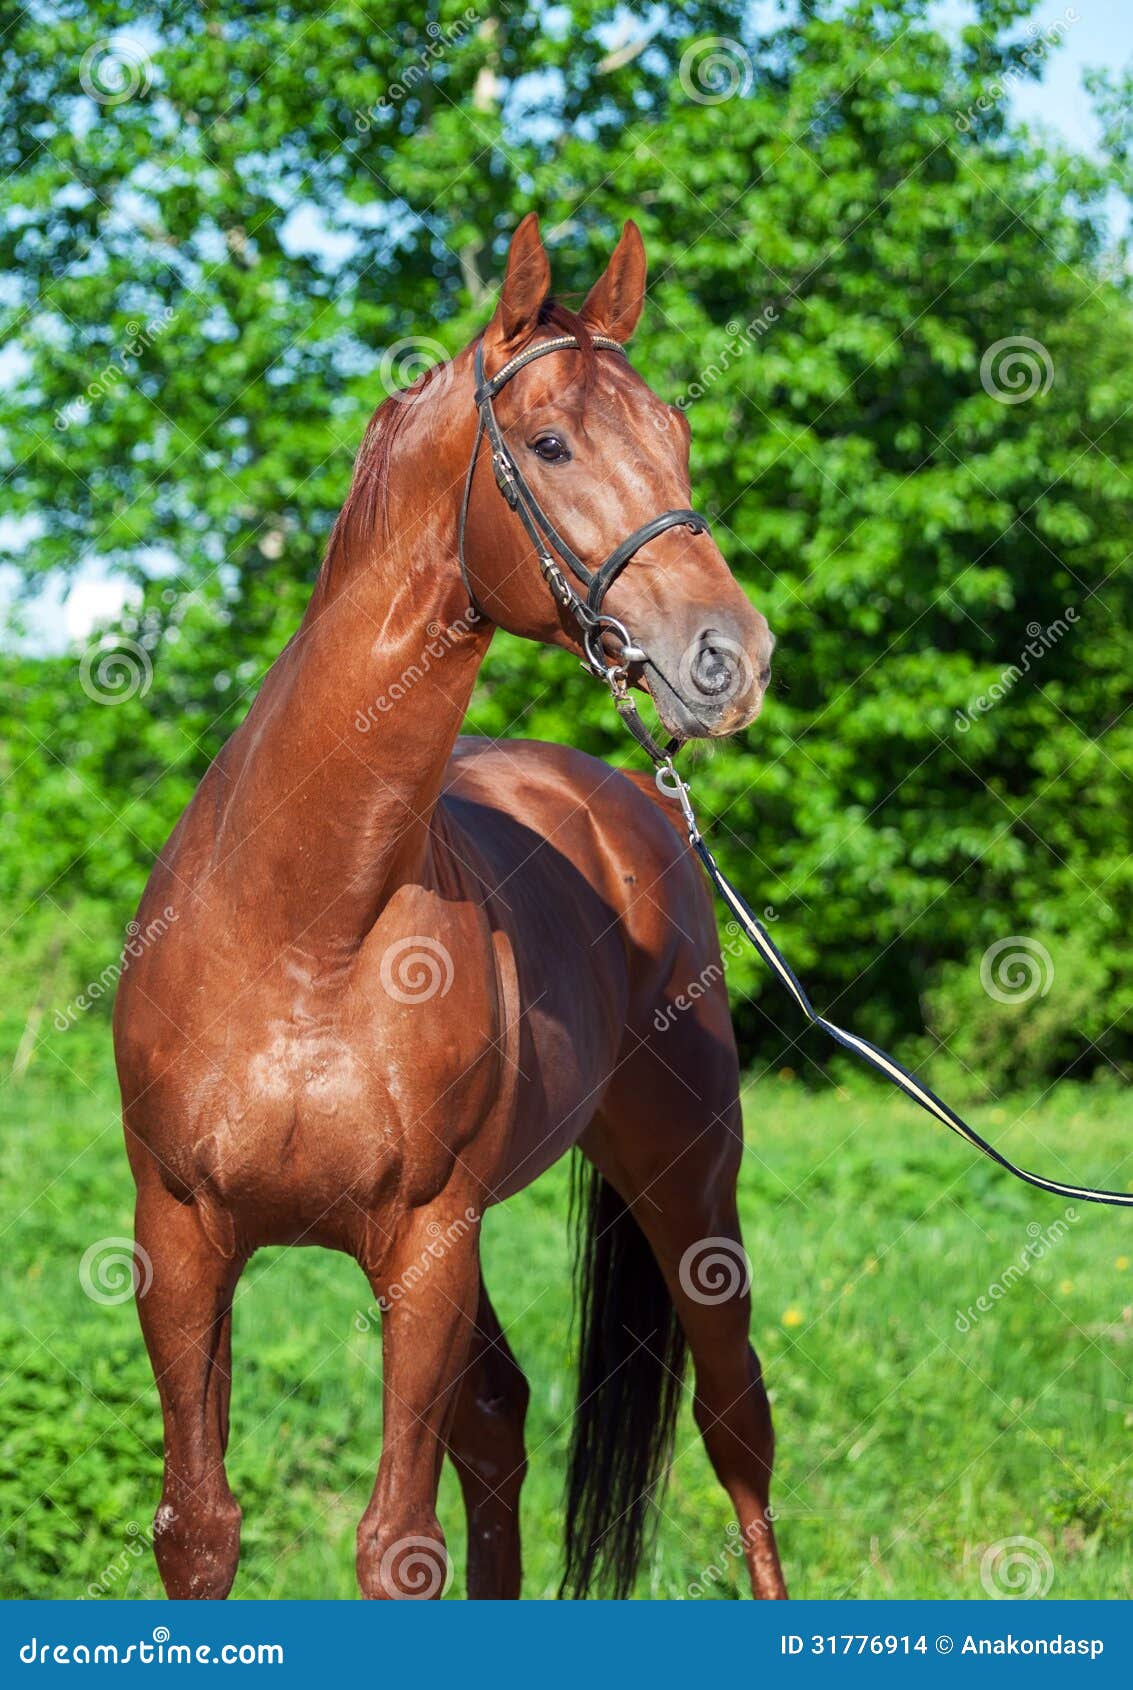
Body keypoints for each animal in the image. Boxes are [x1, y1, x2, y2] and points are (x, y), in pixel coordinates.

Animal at [114, 213, 783, 1601]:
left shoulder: (424, 1243)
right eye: (549, 443)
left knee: (734, 1427)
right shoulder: (181, 1241)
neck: (305, 929)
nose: (728, 657)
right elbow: (198, 1528)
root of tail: (621, 801)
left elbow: (396, 1545)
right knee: (501, 1421)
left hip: (687, 1191)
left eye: (677, 437)